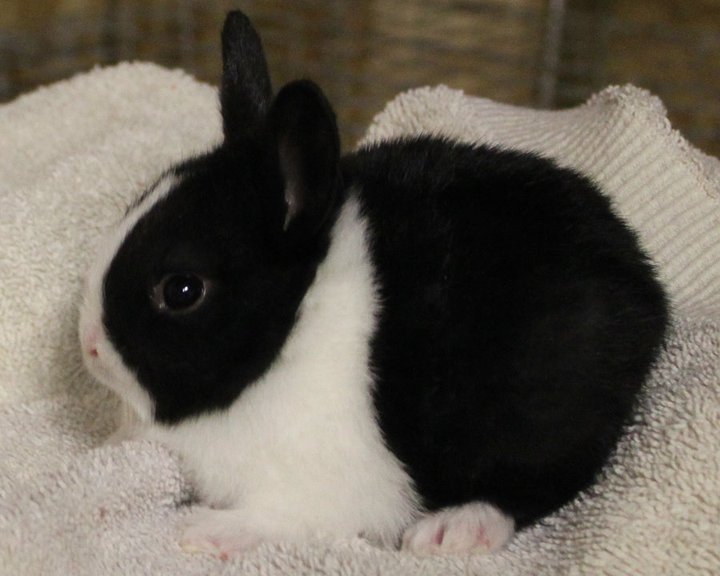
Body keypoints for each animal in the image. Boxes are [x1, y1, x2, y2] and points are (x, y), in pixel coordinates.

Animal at [79, 10, 668, 558]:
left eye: (181, 290)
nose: (88, 347)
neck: (292, 331)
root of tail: (644, 283)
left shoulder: (324, 486)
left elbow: (276, 516)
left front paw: (203, 533)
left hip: (543, 411)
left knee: (543, 481)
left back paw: (453, 530)